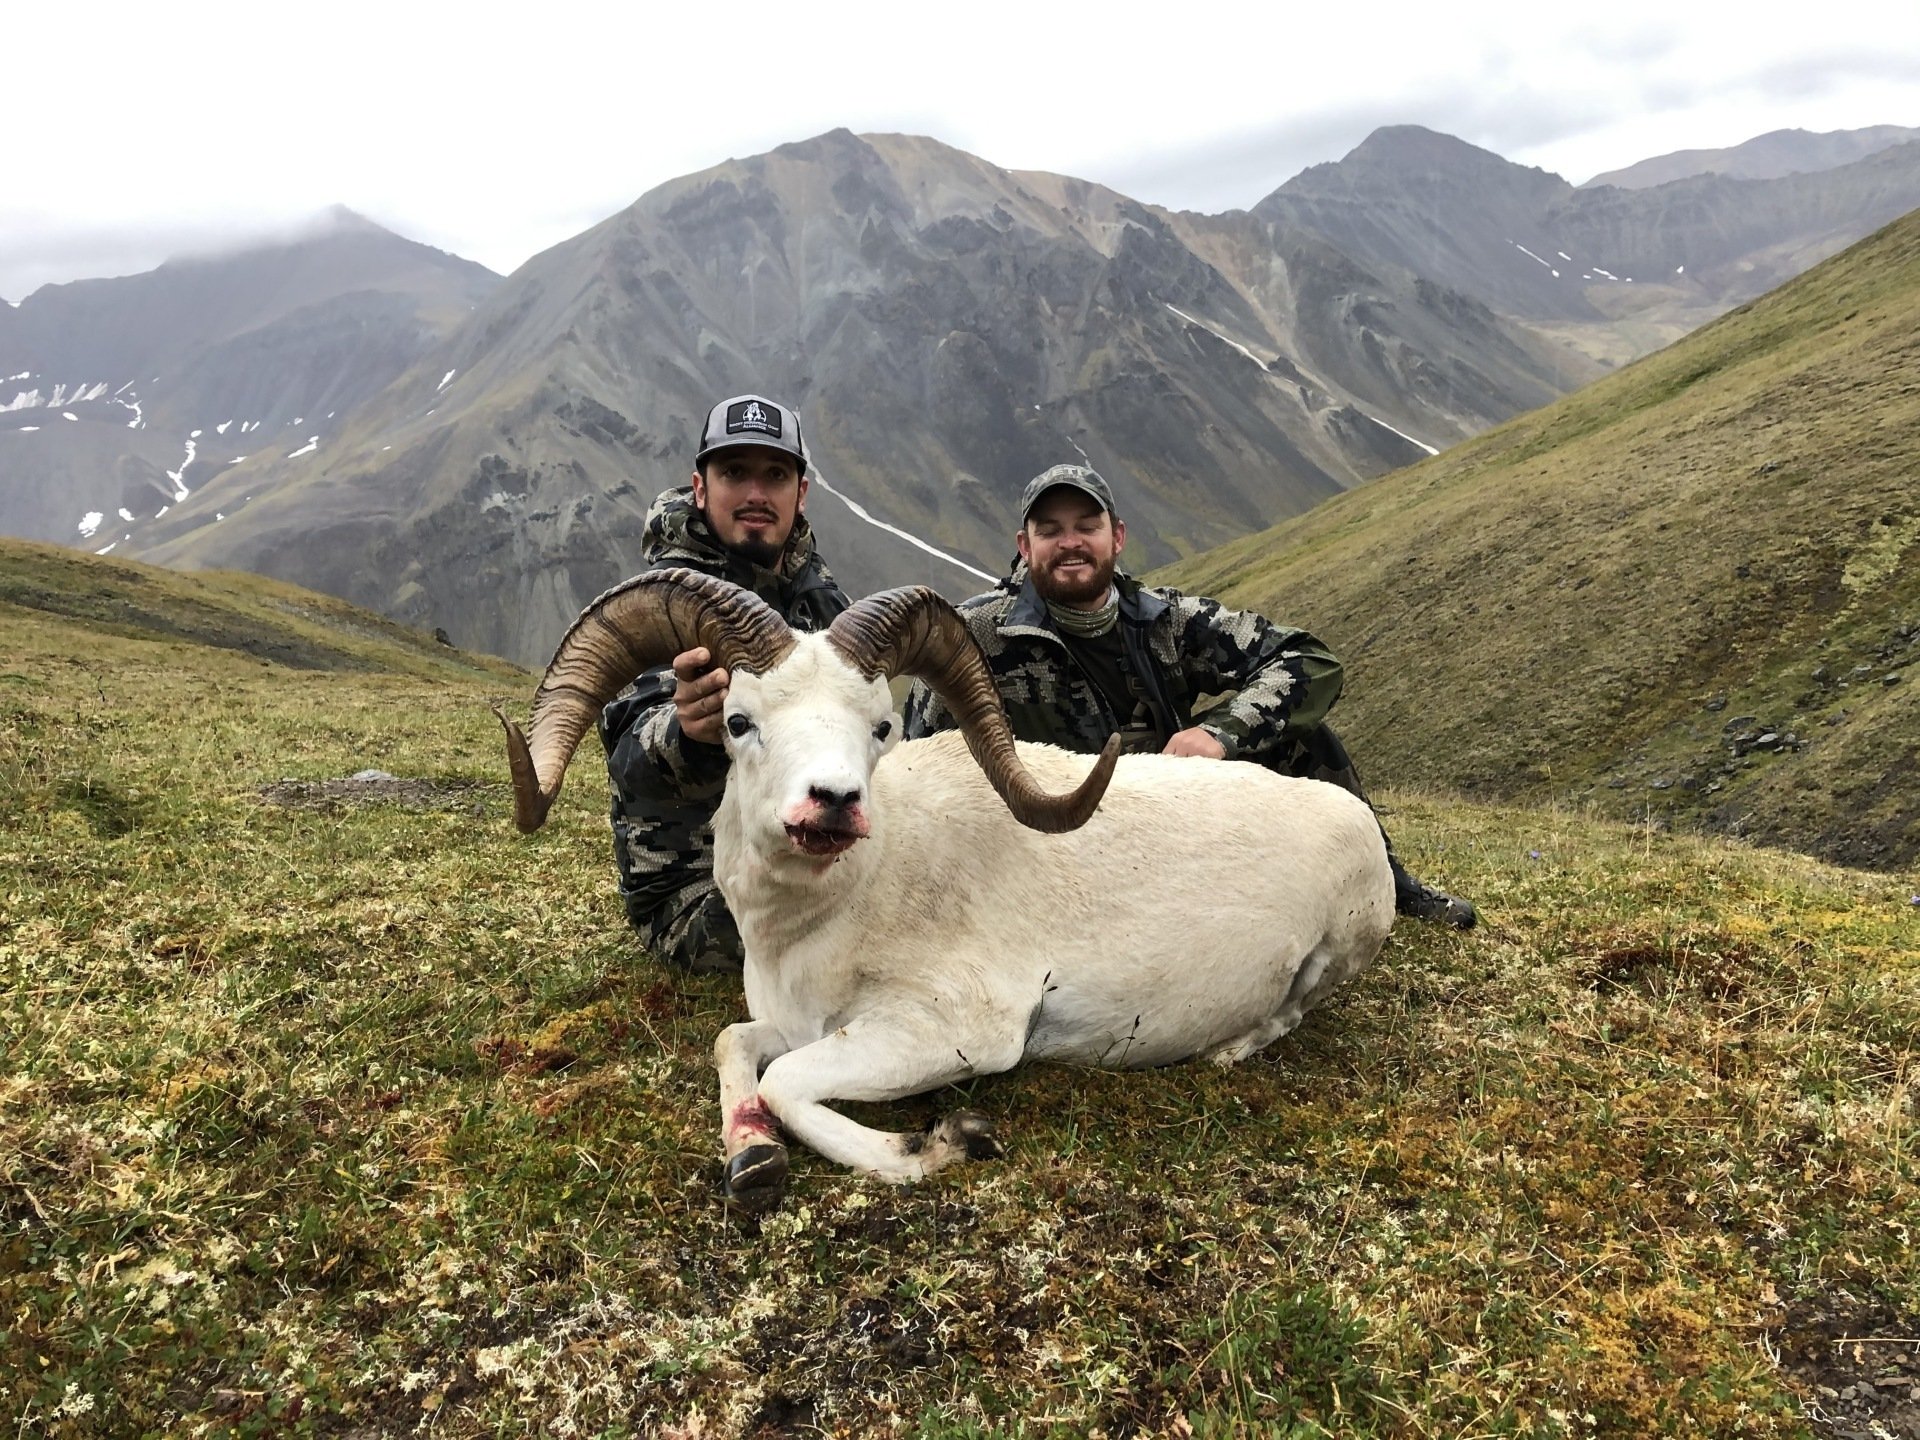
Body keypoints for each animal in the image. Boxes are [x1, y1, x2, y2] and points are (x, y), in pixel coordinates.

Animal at [501, 567, 1394, 1211]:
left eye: (880, 726)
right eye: (737, 721)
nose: (832, 801)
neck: (828, 919)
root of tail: (1359, 825)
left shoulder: (954, 1030)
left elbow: (786, 1084)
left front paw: (947, 1142)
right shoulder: (791, 1024)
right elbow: (735, 1048)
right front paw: (752, 1155)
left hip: (1340, 949)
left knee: (1289, 1013)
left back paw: (1227, 1050)